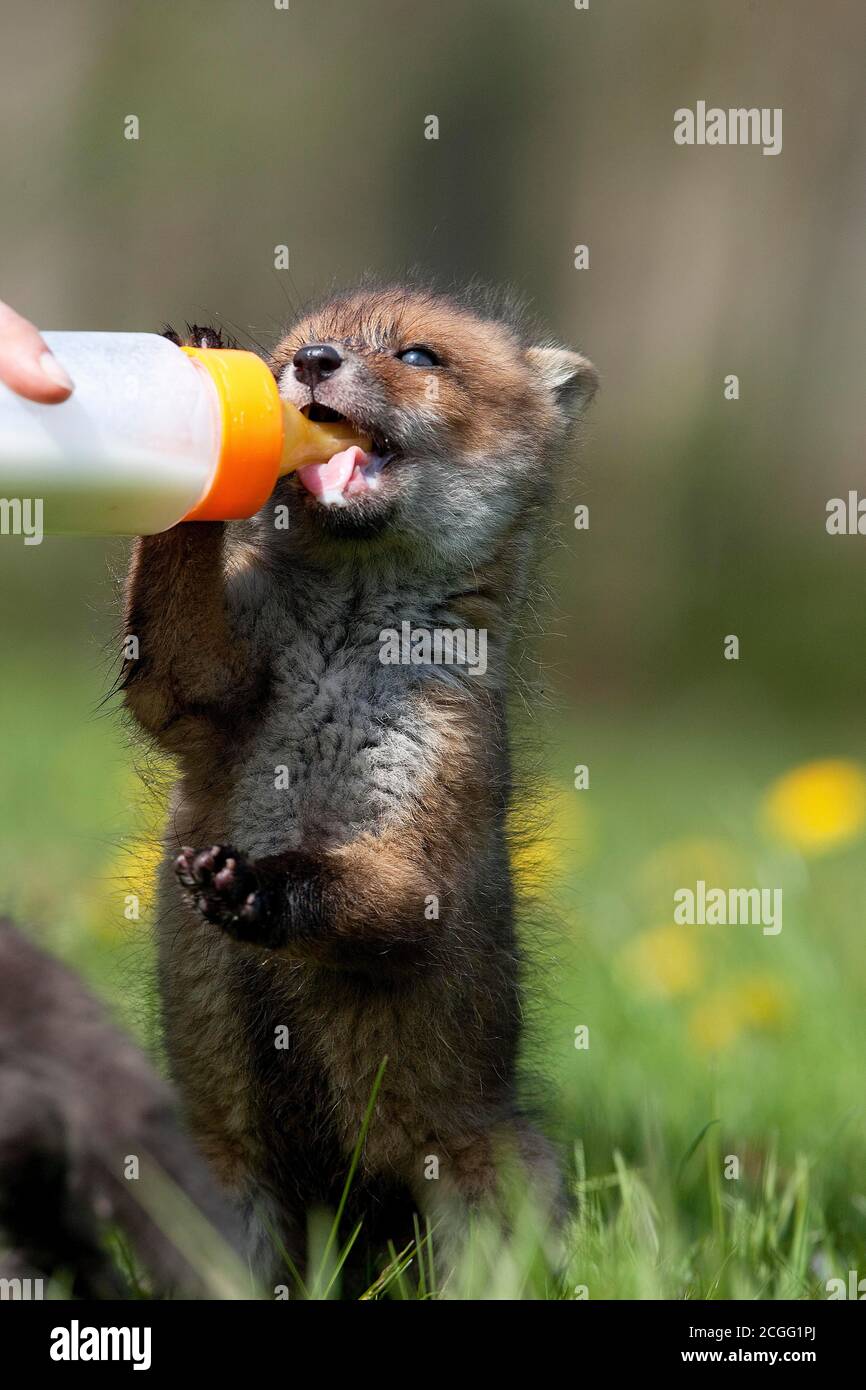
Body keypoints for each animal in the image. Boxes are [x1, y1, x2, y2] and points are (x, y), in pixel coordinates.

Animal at [121, 281, 597, 1290]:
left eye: (418, 356)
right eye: (292, 353)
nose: (312, 366)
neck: (337, 657)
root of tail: (347, 1217)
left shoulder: (425, 828)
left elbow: (351, 889)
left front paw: (253, 887)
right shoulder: (197, 689)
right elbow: (172, 642)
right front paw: (203, 403)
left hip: (491, 1182)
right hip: (222, 1190)